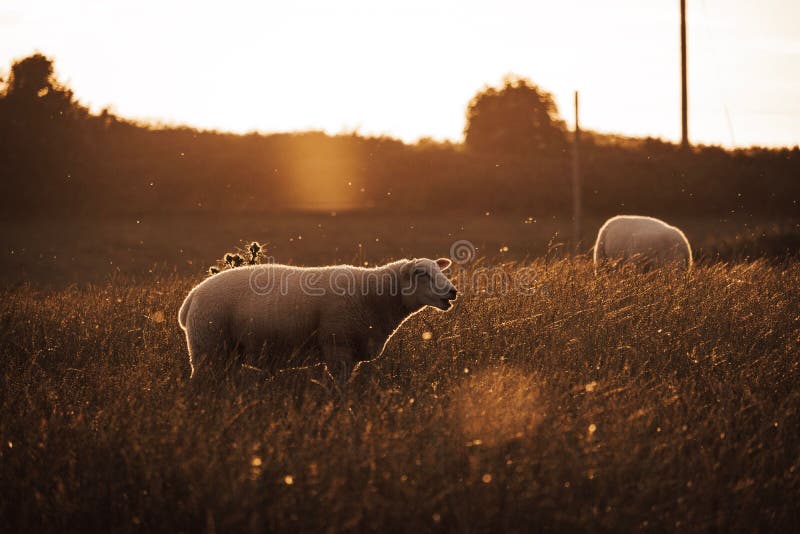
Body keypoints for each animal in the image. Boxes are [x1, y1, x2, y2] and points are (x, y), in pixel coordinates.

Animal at [178, 257, 458, 383]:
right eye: (423, 274)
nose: (452, 292)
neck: (375, 297)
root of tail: (191, 297)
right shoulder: (338, 346)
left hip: (227, 352)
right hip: (207, 346)